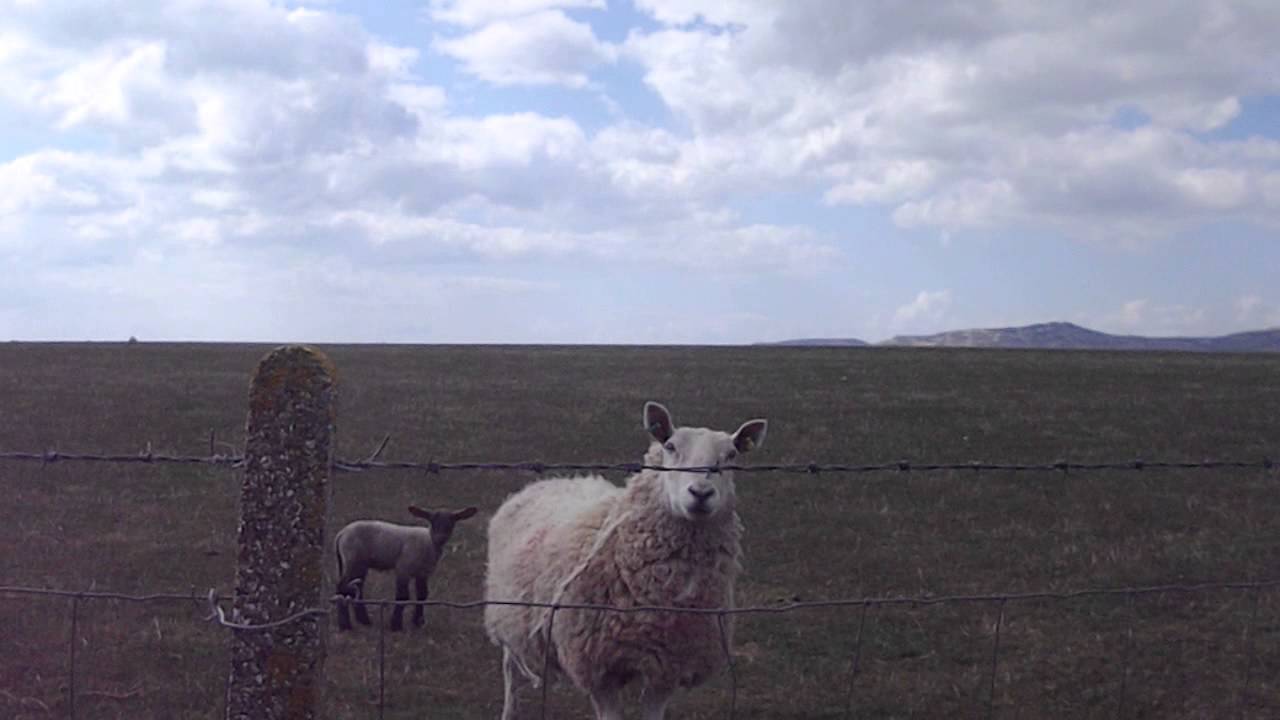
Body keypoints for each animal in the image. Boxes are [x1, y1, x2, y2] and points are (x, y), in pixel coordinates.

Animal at [334, 505, 478, 632]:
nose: (440, 538)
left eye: (451, 523)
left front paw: (418, 622)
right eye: (432, 522)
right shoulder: (403, 567)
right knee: (342, 587)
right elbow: (402, 596)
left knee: (356, 588)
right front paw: (396, 625)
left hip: (360, 564)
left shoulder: (423, 573)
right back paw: (345, 625)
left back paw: (363, 621)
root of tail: (341, 533)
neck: (429, 543)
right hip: (353, 560)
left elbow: (422, 595)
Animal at [484, 401, 768, 720]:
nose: (701, 493)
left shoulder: (666, 669)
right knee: (510, 670)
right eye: (670, 446)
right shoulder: (599, 670)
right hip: (508, 614)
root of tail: (548, 482)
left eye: (731, 455)